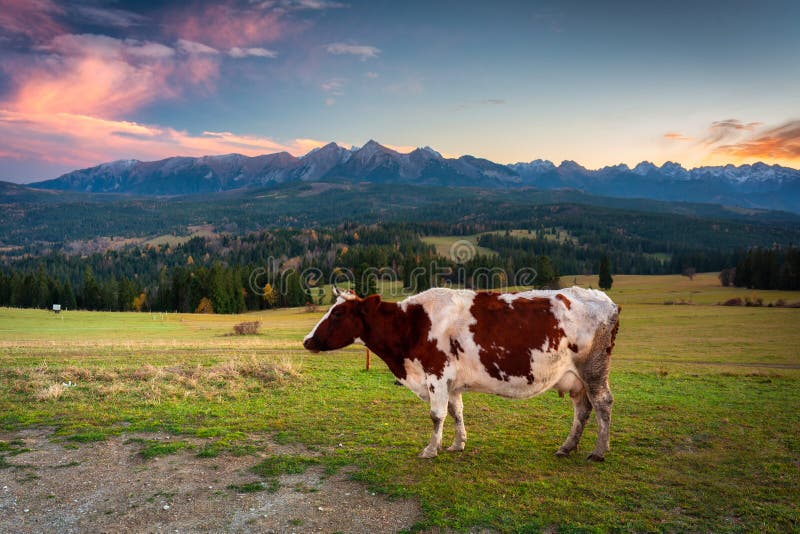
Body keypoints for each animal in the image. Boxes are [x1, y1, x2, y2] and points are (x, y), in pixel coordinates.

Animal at [303, 286, 620, 460]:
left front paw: (431, 449)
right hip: (576, 378)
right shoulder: (451, 382)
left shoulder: (436, 374)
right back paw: (567, 446)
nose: (307, 340)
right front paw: (457, 444)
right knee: (583, 409)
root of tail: (605, 300)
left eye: (338, 313)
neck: (411, 325)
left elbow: (436, 415)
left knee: (602, 404)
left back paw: (599, 451)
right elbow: (456, 412)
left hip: (593, 370)